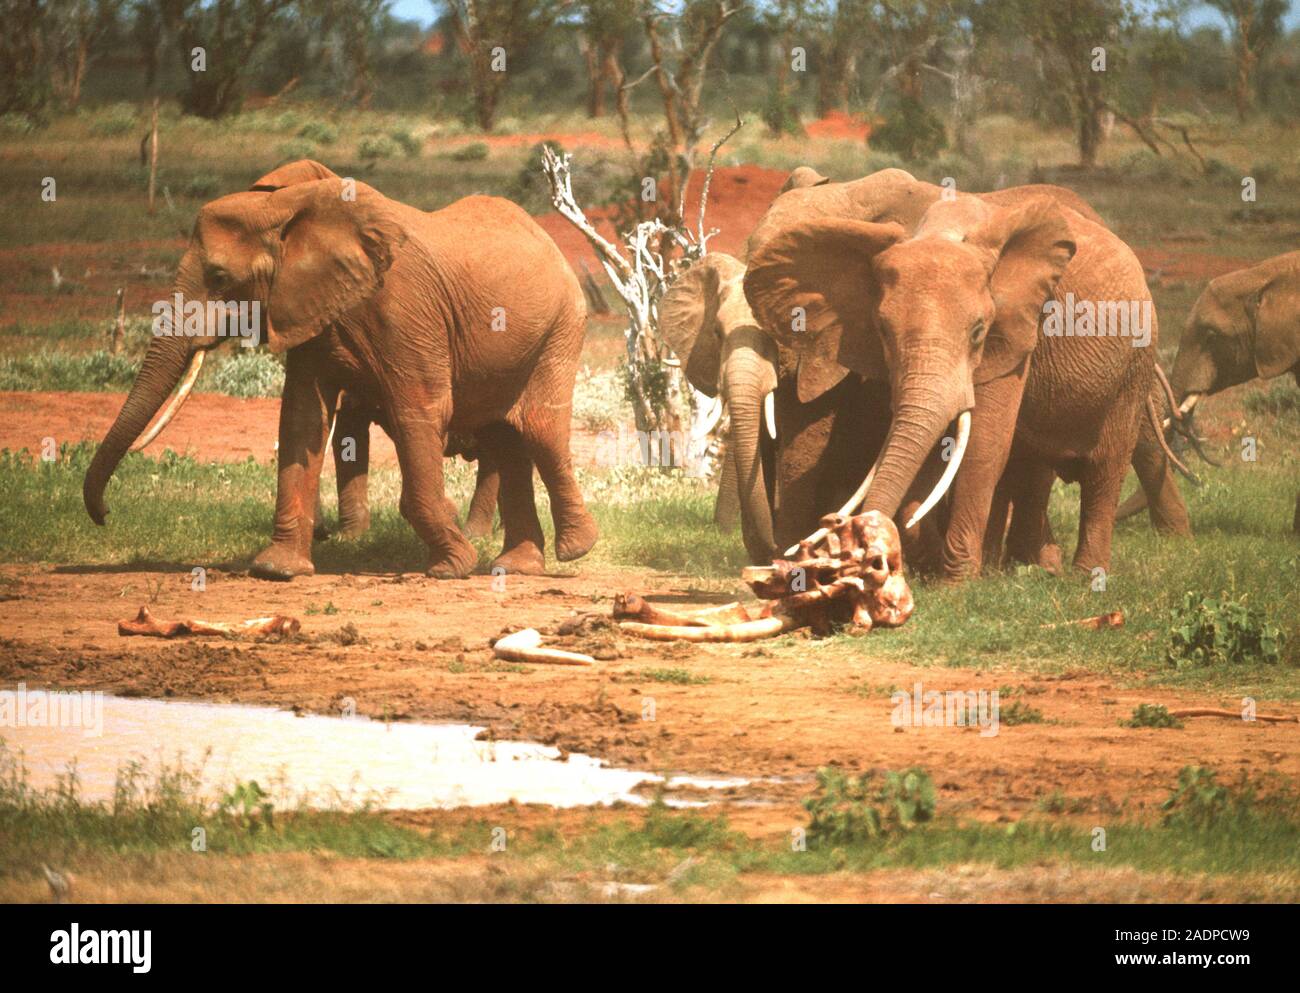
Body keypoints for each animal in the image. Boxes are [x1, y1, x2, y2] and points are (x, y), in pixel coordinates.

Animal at [84, 159, 598, 580]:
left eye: (219, 278)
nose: (105, 515)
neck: (290, 211)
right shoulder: (309, 308)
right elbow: (302, 418)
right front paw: (277, 570)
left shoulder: (404, 310)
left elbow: (420, 410)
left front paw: (450, 567)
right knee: (505, 438)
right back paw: (517, 566)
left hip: (562, 326)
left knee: (538, 430)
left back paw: (574, 549)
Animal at [744, 168, 1187, 580]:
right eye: (883, 331)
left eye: (977, 332)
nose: (831, 526)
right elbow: (922, 440)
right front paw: (934, 562)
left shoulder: (1016, 330)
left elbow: (983, 443)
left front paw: (954, 582)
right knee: (1032, 464)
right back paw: (1018, 568)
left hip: (1136, 361)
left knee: (1105, 466)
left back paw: (1083, 576)